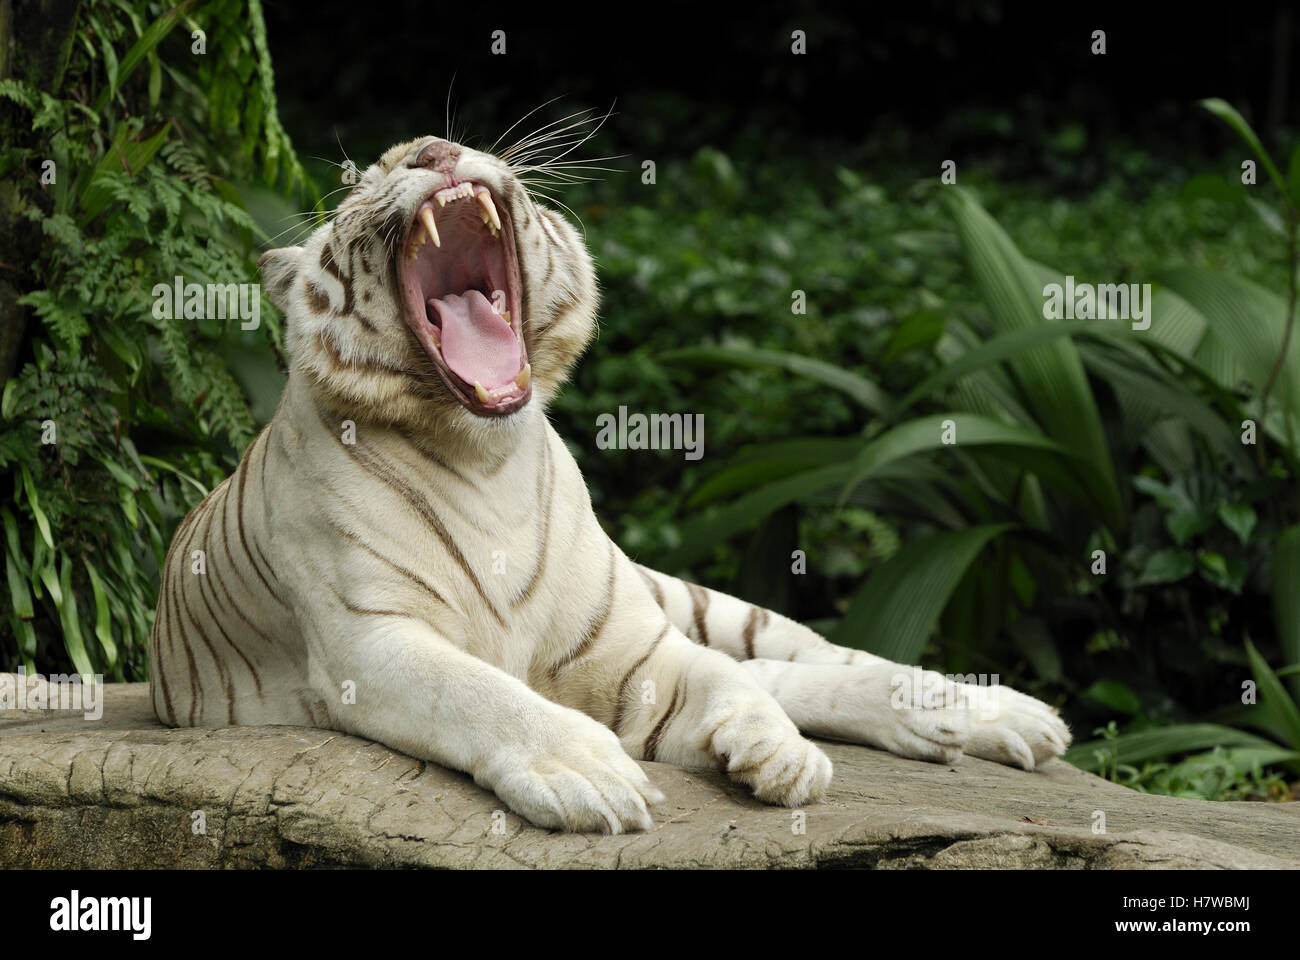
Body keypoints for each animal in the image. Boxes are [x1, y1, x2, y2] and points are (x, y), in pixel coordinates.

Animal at [150, 133, 1071, 833]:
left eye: (436, 144)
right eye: (359, 181)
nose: (431, 150)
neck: (487, 459)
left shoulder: (633, 644)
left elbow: (722, 680)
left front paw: (776, 753)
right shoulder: (367, 644)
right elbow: (480, 692)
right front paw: (591, 773)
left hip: (686, 598)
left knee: (798, 656)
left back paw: (995, 713)